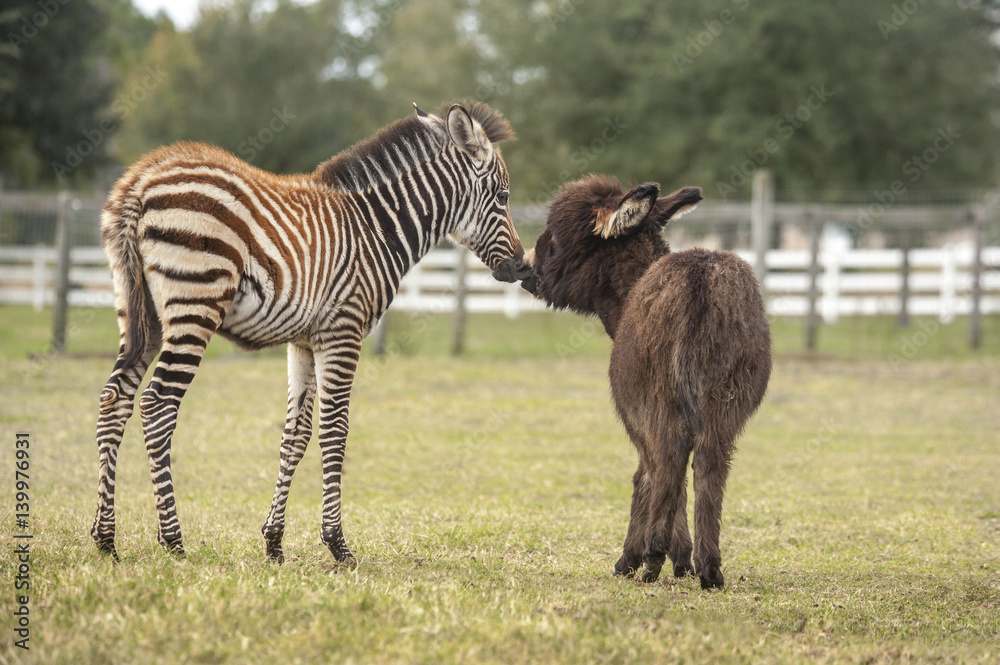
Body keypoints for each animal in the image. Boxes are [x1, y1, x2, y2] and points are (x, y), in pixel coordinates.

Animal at [92, 101, 531, 563]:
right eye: (503, 196)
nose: (522, 267)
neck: (375, 228)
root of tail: (140, 179)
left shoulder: (303, 341)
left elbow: (295, 435)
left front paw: (273, 542)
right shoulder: (343, 331)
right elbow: (334, 431)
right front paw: (338, 544)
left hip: (141, 312)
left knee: (114, 399)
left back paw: (106, 538)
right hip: (195, 305)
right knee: (157, 406)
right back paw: (173, 538)